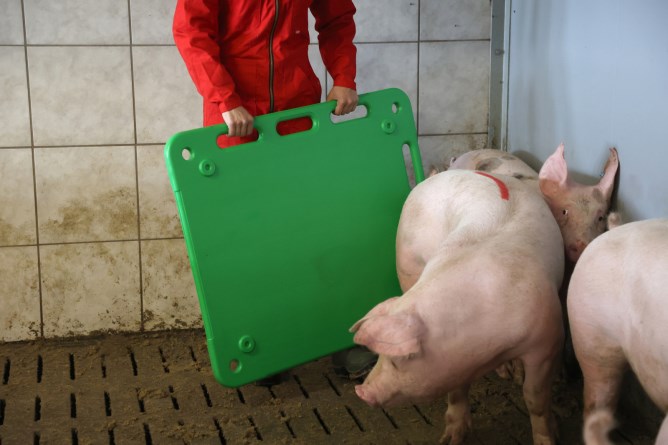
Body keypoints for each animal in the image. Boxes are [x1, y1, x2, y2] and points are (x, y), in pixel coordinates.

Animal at [350, 169, 565, 444]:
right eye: (380, 356)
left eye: (400, 360)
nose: (361, 391)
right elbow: (456, 391)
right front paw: (449, 439)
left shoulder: (549, 339)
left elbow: (535, 397)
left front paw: (548, 438)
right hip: (406, 261)